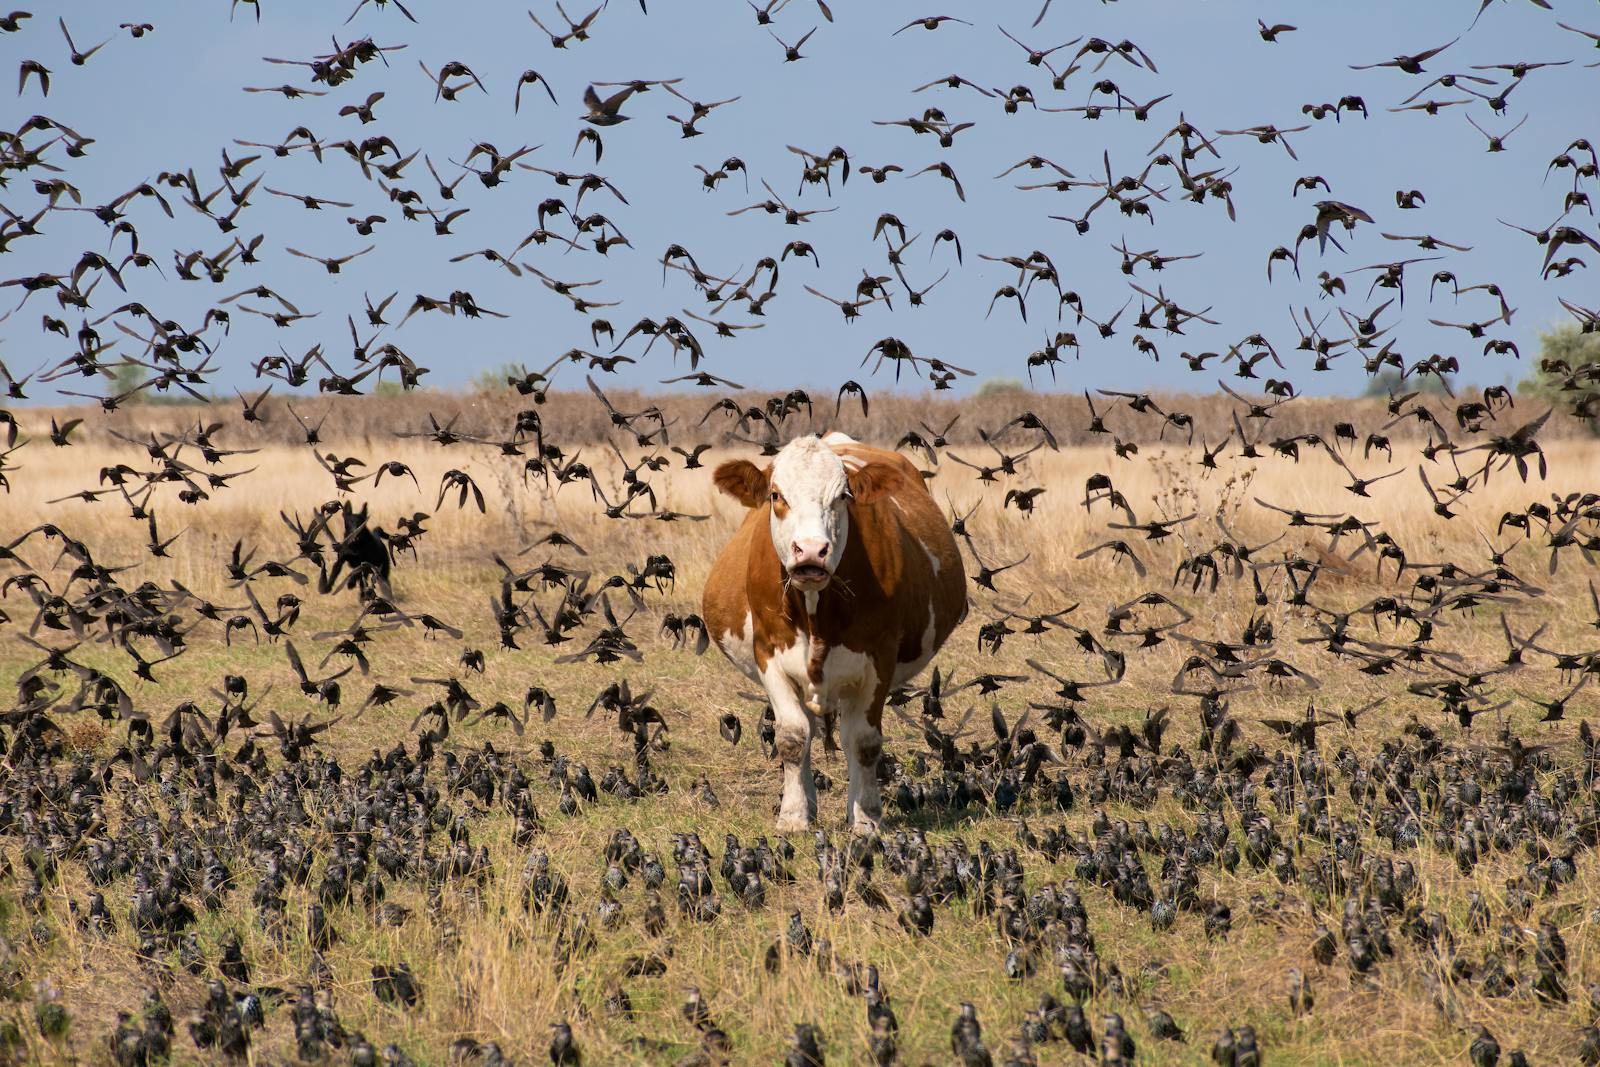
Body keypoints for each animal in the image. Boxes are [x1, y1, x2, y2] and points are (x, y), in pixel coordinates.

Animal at [702, 432, 967, 834]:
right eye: (776, 495)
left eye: (843, 496)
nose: (811, 551)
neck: (815, 612)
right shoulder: (769, 655)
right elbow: (793, 736)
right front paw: (794, 816)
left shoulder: (879, 659)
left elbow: (863, 741)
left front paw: (867, 816)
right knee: (809, 728)